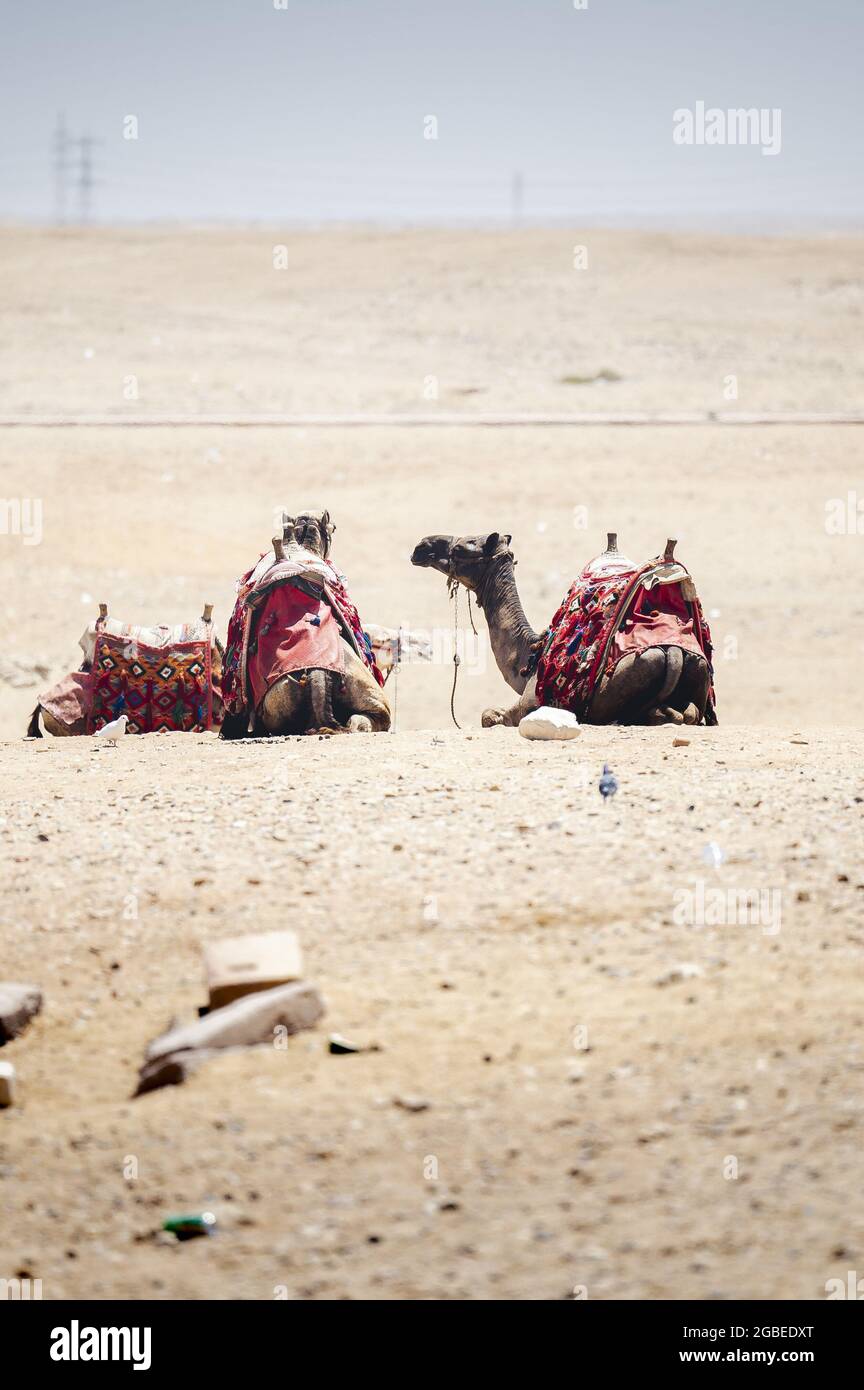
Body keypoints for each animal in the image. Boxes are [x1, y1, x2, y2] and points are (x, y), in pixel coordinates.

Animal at [410, 531, 712, 727]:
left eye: (462, 547)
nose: (421, 547)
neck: (529, 656)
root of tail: (675, 653)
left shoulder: (527, 707)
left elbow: (487, 716)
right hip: (697, 670)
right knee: (687, 713)